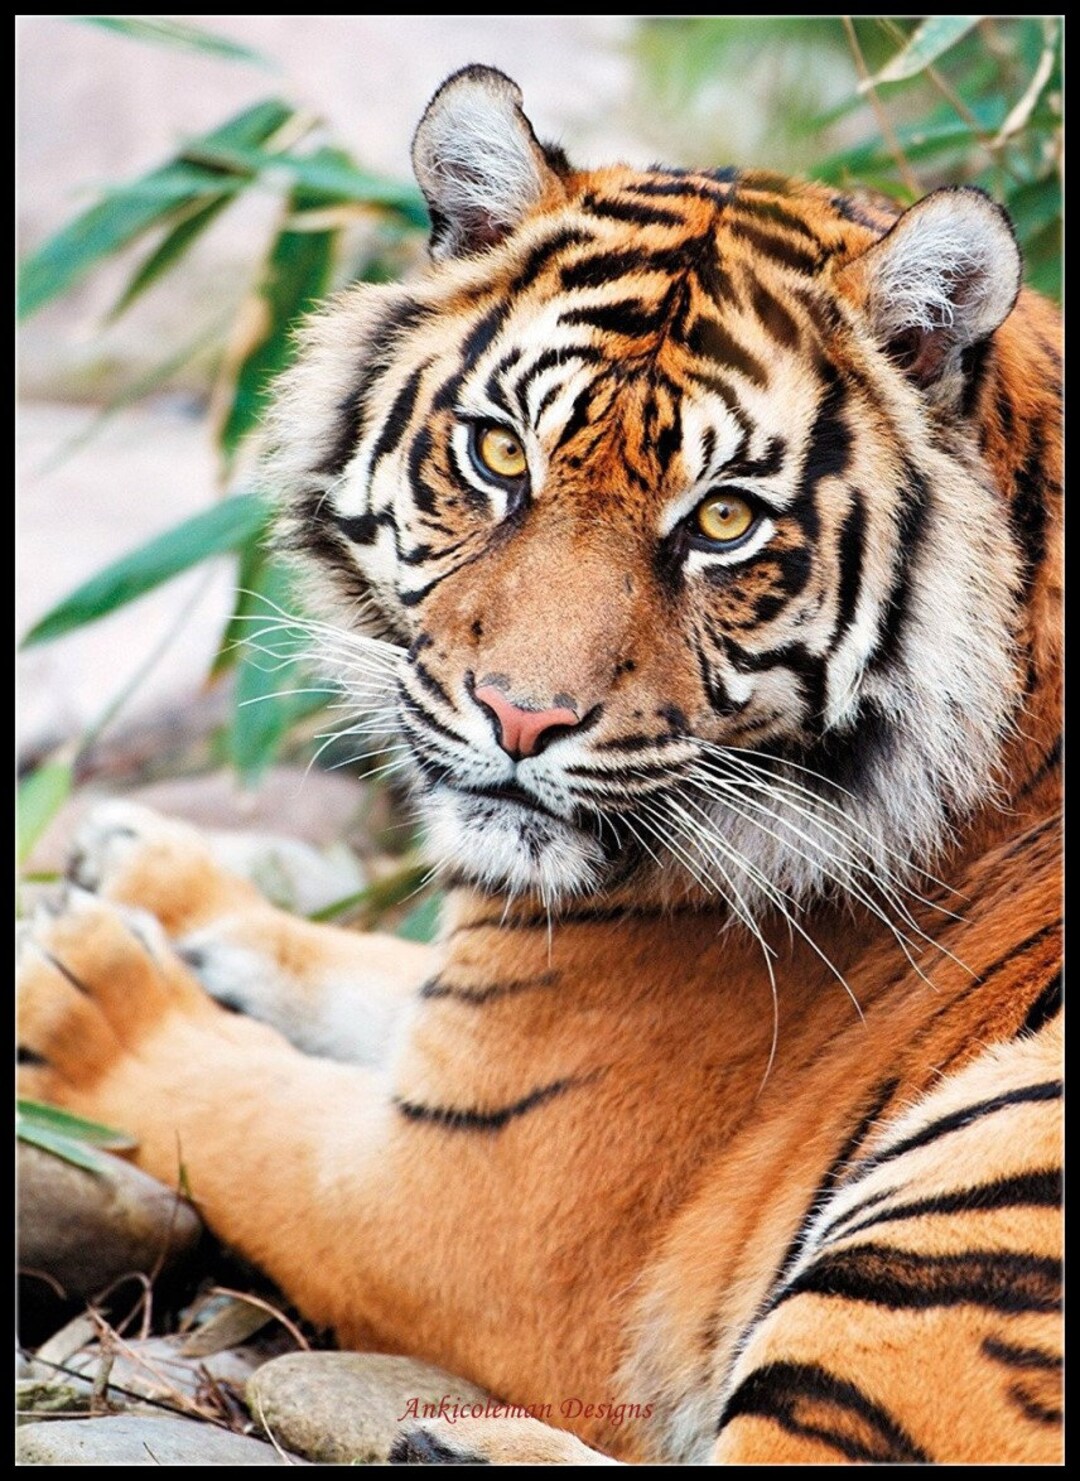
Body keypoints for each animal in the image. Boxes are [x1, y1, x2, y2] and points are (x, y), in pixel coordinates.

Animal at [18, 65, 1061, 1465]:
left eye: (723, 520)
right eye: (501, 453)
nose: (520, 718)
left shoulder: (464, 1195)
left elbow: (239, 1105)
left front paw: (82, 985)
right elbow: (370, 971)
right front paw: (153, 874)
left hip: (976, 1188)